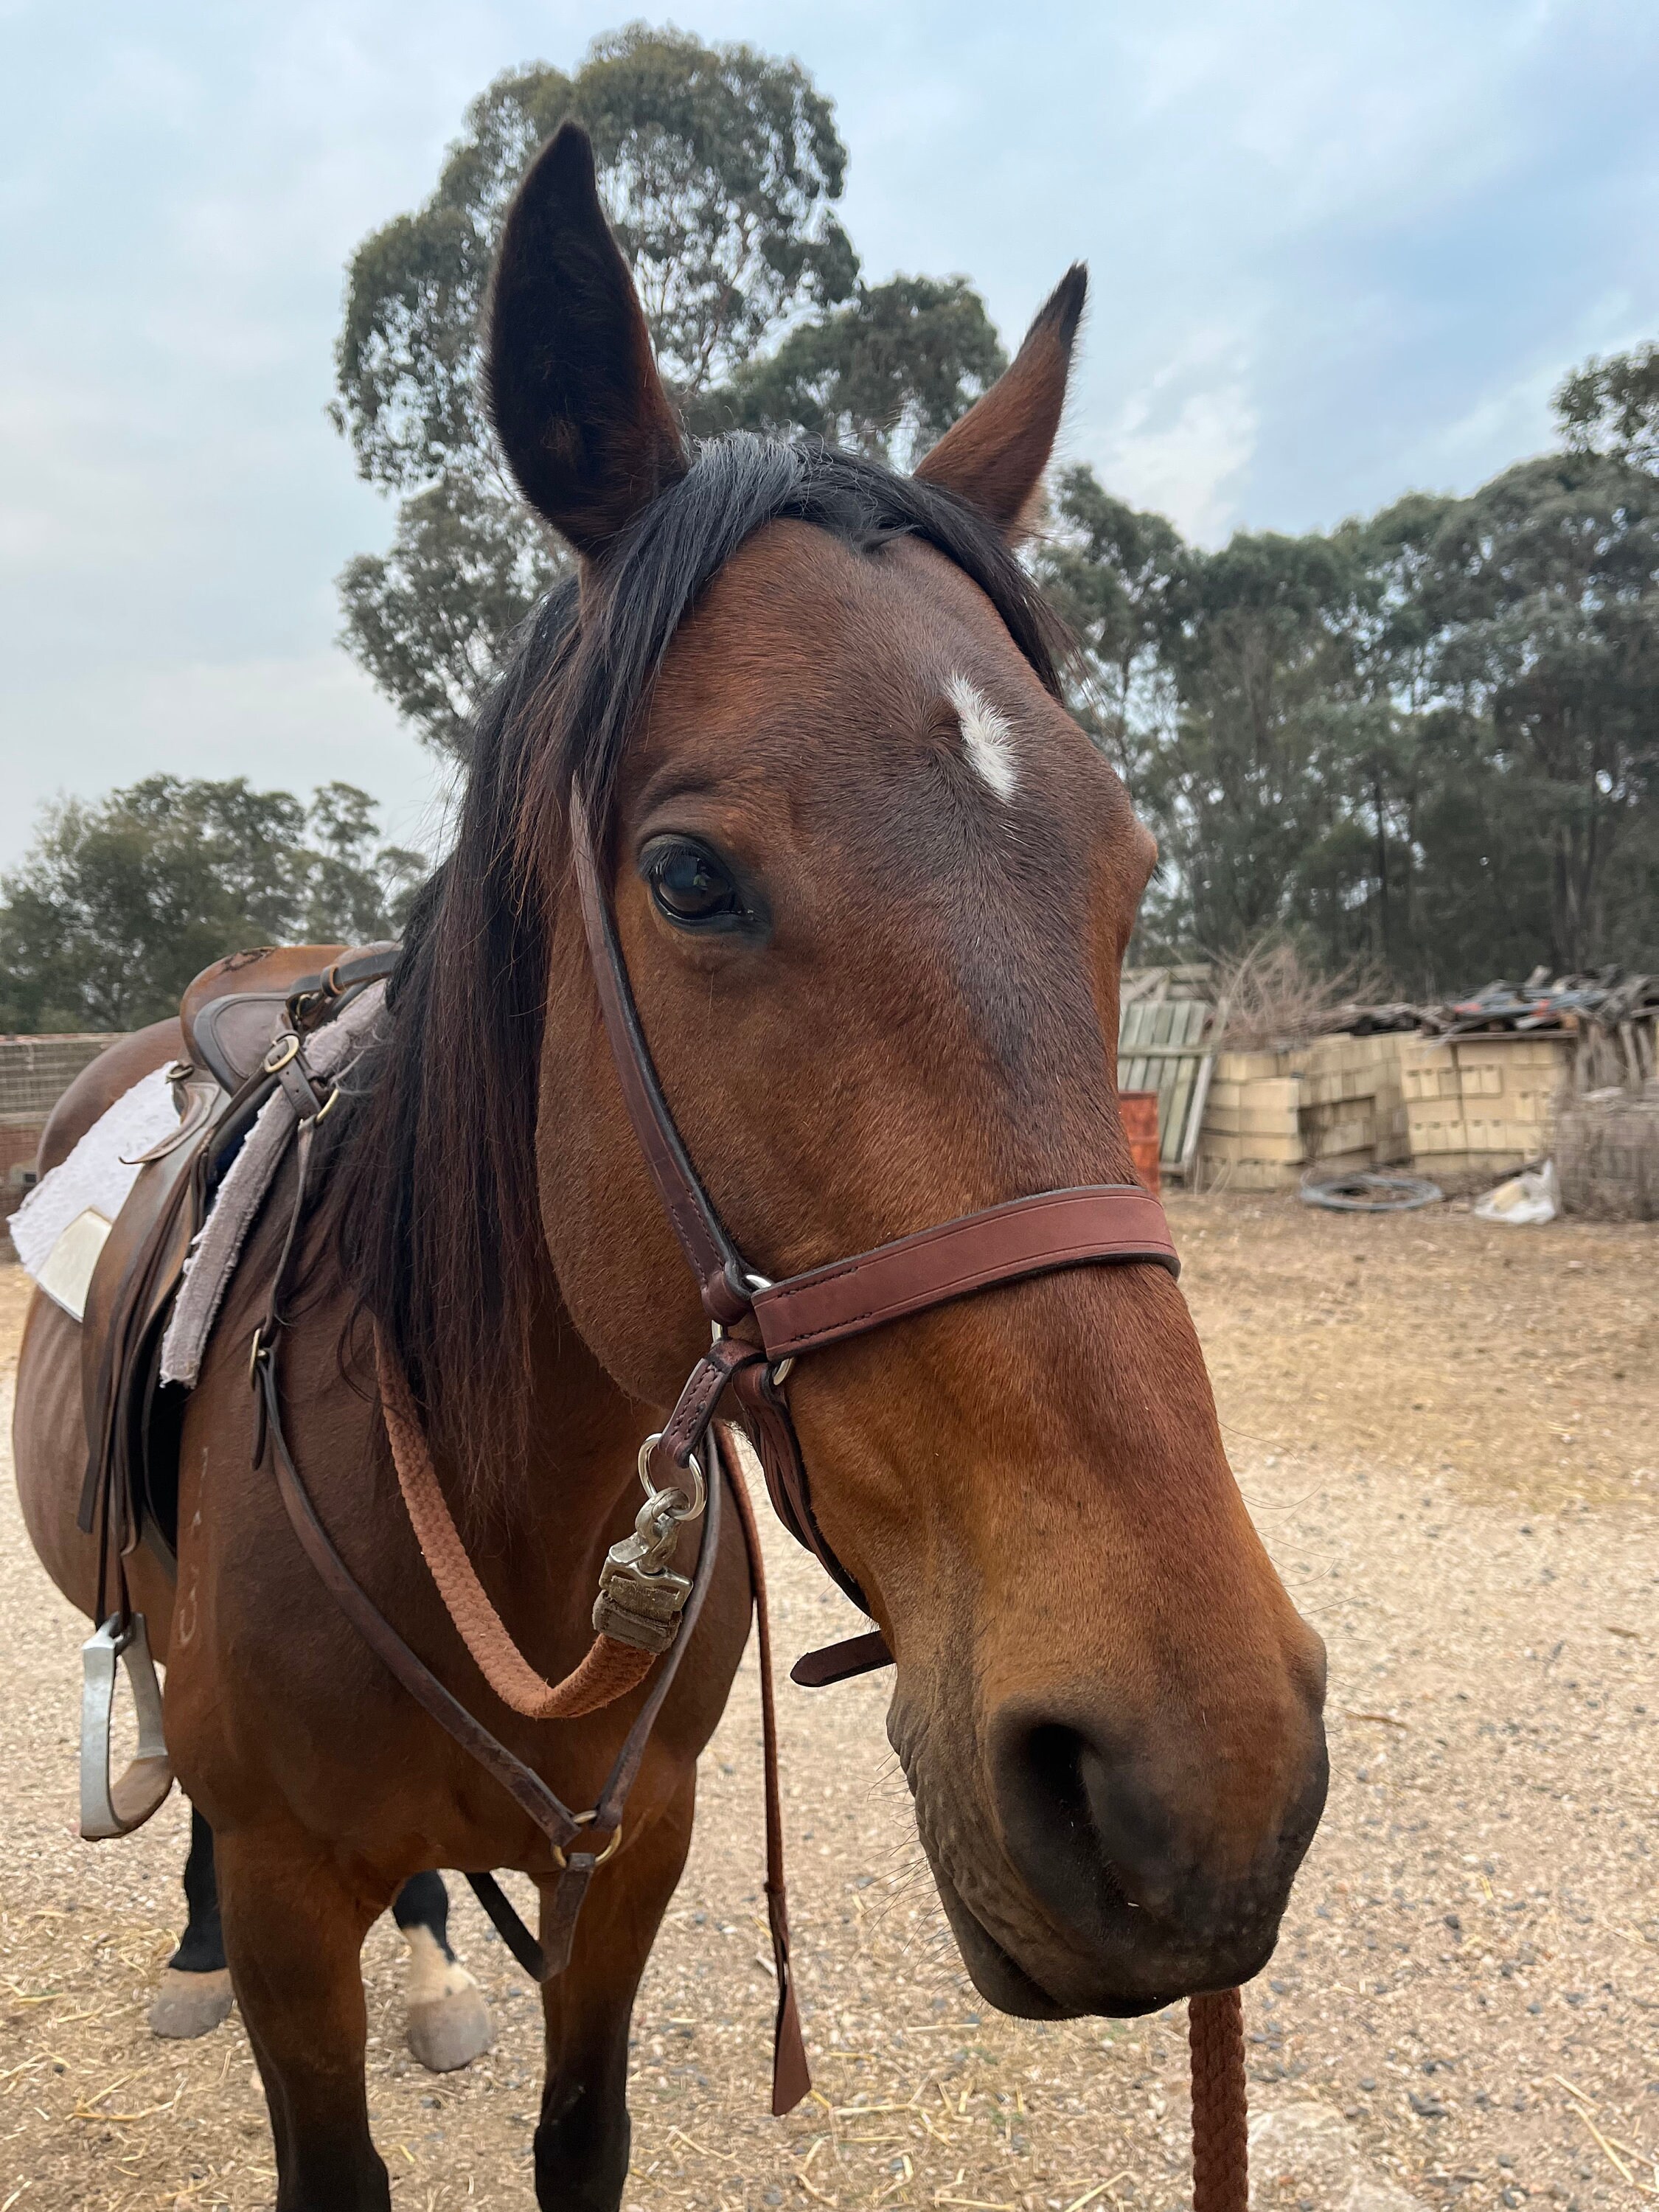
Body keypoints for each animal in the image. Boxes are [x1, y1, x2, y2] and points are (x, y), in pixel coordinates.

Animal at [12, 120, 1328, 2211]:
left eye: (1125, 875)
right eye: (690, 877)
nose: (1194, 1780)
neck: (503, 1520)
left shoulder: (636, 1858)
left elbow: (584, 2139)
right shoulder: (299, 1895)